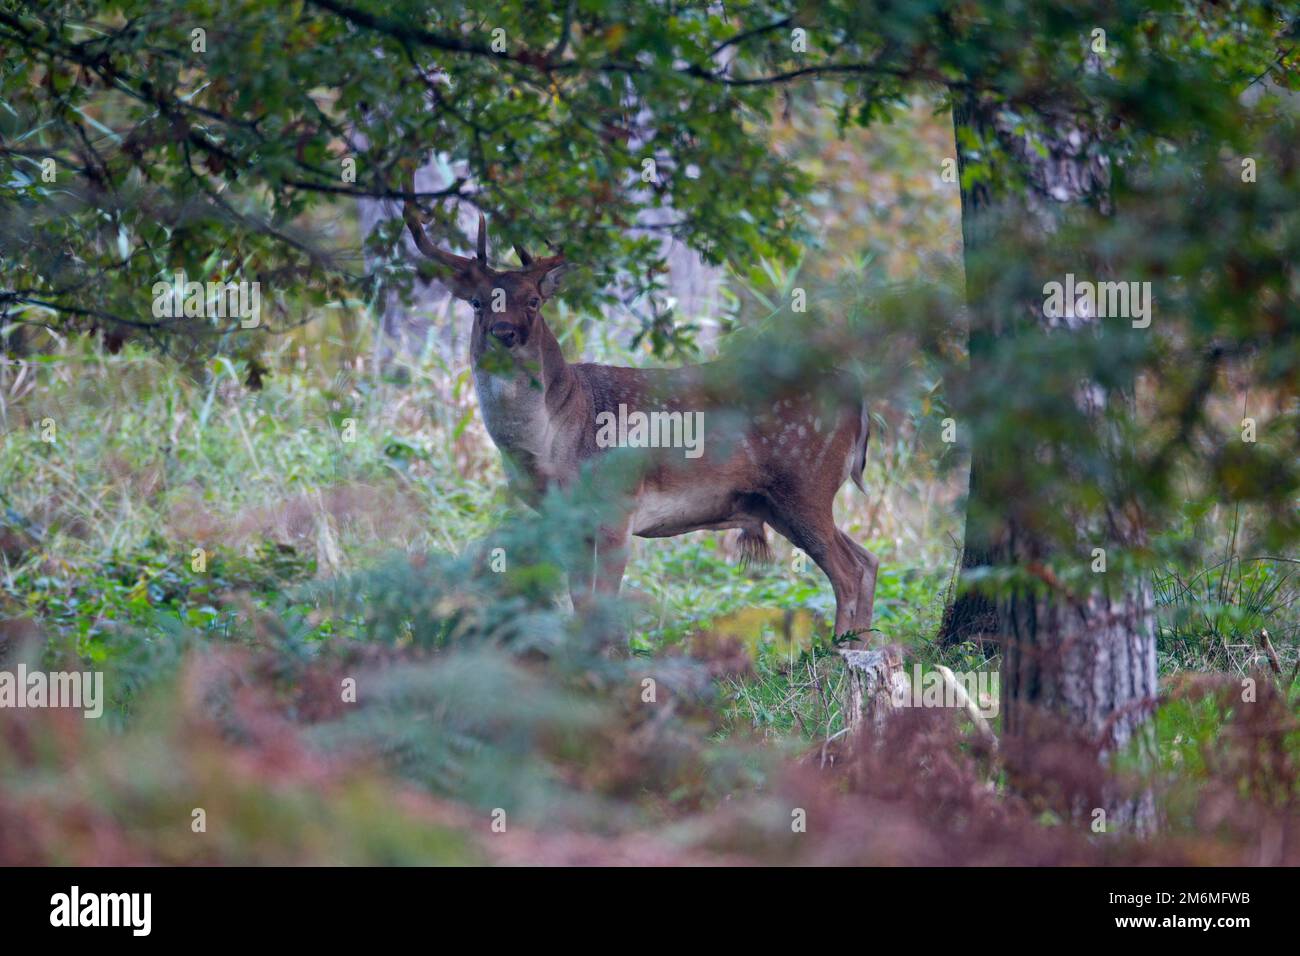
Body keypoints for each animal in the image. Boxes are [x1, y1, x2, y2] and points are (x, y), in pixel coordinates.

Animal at [402, 193, 879, 647]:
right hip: (777, 501)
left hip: (804, 482)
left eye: (534, 301)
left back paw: (837, 652)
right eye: (477, 303)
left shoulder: (618, 504)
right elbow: (580, 603)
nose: (505, 333)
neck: (555, 440)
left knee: (848, 569)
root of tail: (858, 400)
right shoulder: (566, 521)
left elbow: (601, 607)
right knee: (868, 559)